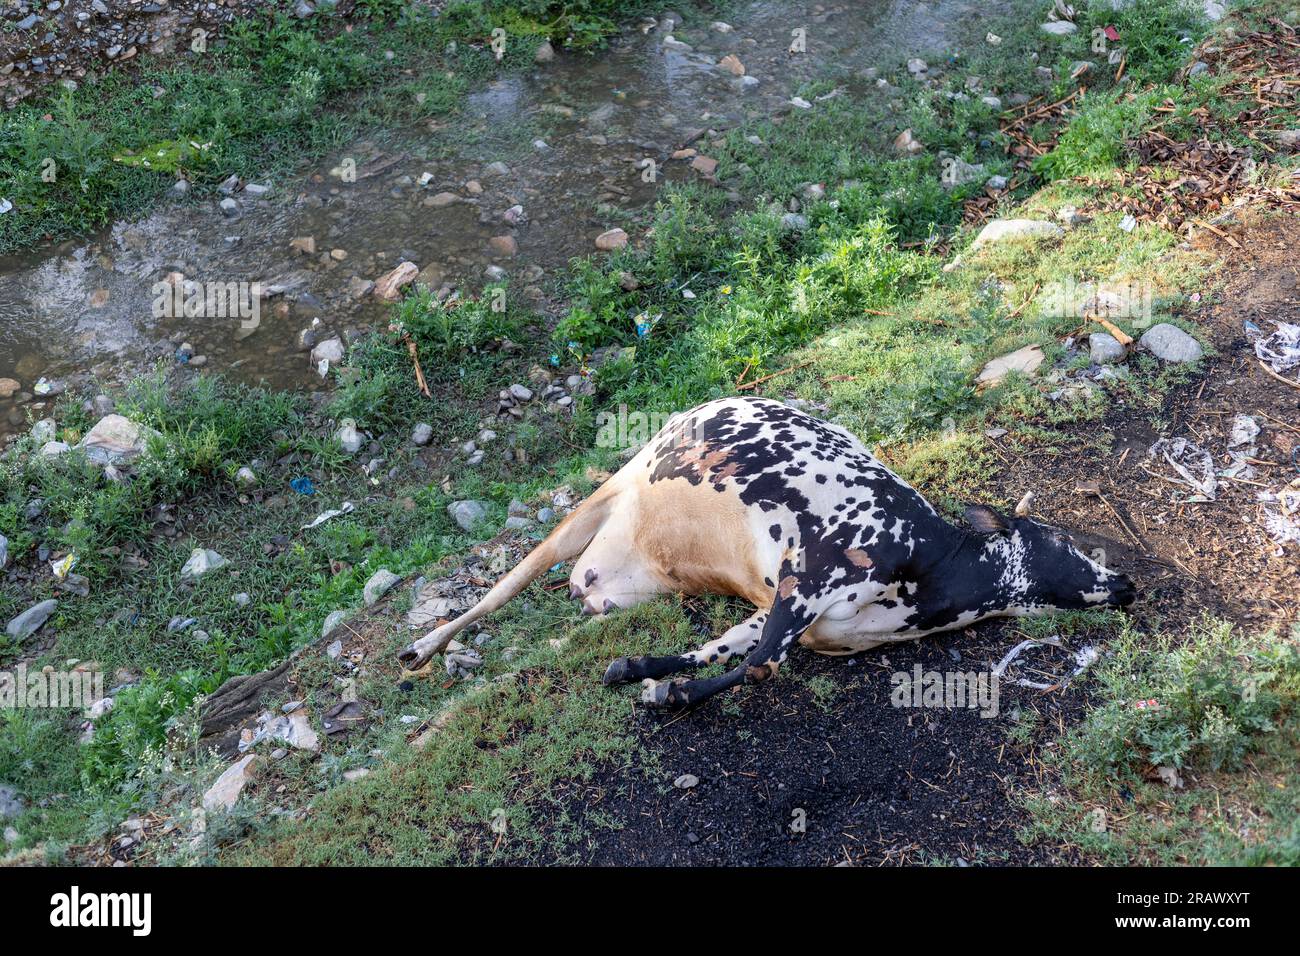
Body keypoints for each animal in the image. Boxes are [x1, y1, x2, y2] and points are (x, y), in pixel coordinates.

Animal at [398, 397, 1135, 708]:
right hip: (597, 500)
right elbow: (758, 665)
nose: (1128, 582)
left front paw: (641, 670)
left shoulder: (783, 606)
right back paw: (423, 649)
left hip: (621, 587)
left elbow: (724, 648)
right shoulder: (808, 578)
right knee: (505, 584)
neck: (930, 575)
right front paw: (668, 694)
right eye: (1070, 539)